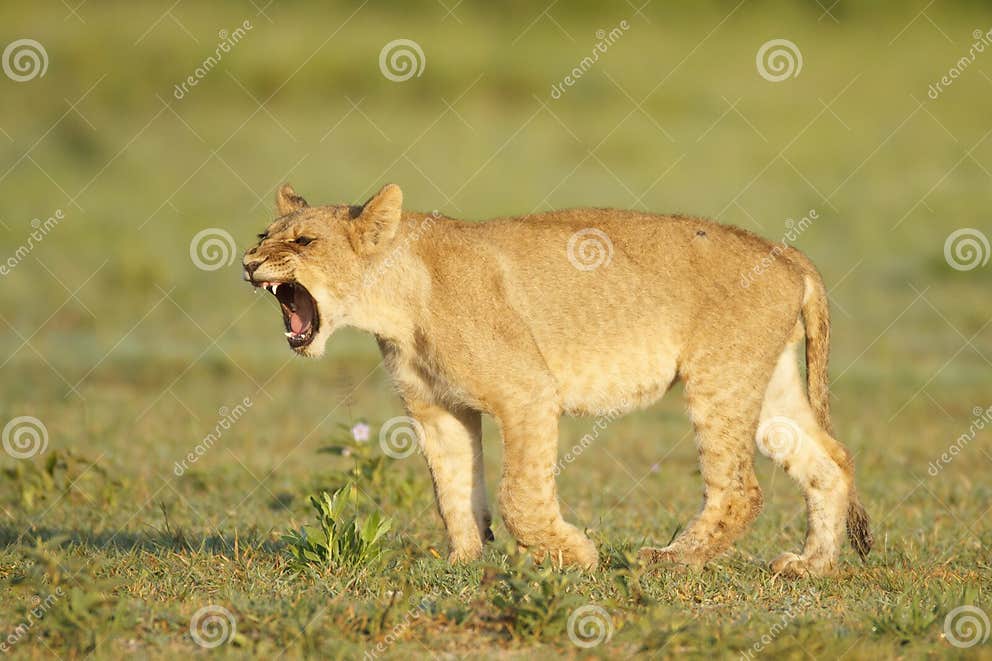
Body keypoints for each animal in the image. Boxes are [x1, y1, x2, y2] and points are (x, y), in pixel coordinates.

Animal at [242, 182, 872, 576]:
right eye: (262, 235)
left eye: (303, 241)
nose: (248, 264)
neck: (394, 302)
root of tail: (787, 253)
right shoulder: (437, 409)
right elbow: (454, 492)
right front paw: (463, 563)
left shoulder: (527, 391)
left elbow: (518, 495)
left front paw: (575, 555)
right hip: (766, 386)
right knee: (830, 461)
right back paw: (809, 567)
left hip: (719, 379)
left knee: (741, 488)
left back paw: (669, 558)